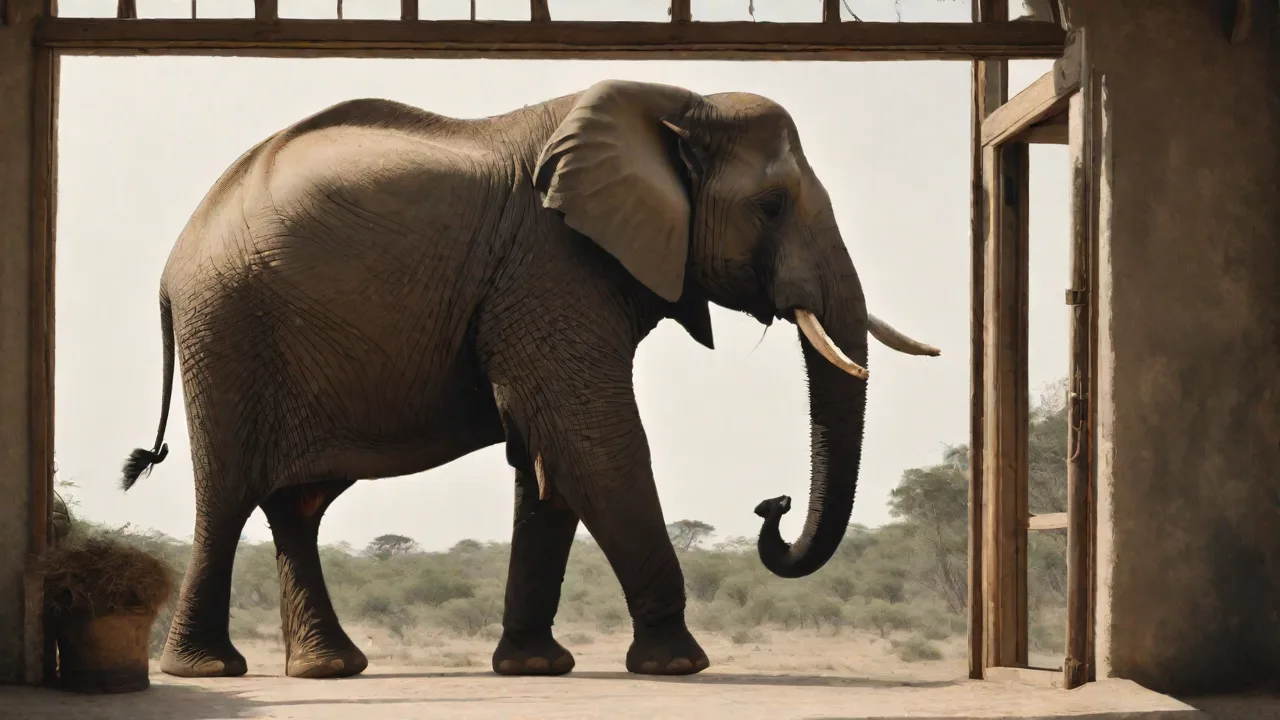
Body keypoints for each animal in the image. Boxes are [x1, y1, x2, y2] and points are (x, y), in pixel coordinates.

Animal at [118, 79, 940, 681]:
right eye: (770, 206)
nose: (773, 502)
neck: (677, 106)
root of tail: (170, 265)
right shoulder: (553, 263)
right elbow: (589, 436)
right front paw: (678, 666)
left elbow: (547, 455)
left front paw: (535, 668)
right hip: (226, 330)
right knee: (227, 498)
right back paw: (208, 672)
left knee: (298, 505)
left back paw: (329, 670)